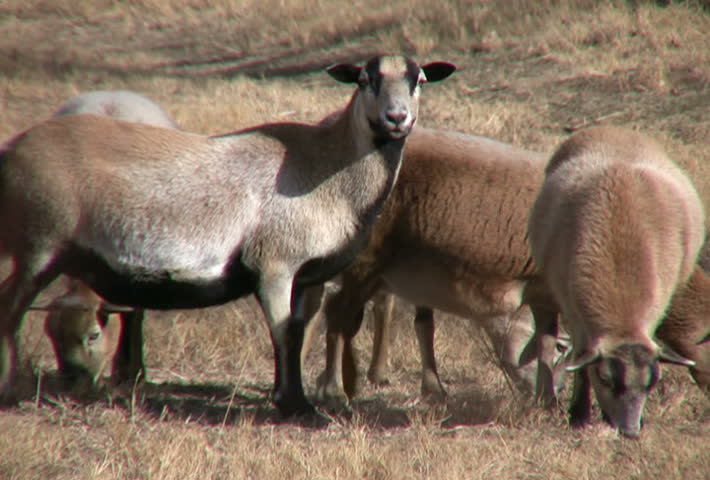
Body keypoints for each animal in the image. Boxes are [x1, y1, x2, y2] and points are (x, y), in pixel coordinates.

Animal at [528, 125, 703, 438]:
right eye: (605, 379)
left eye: (652, 383)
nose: (630, 431)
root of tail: (612, 128)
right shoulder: (572, 307)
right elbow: (581, 360)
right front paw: (579, 414)